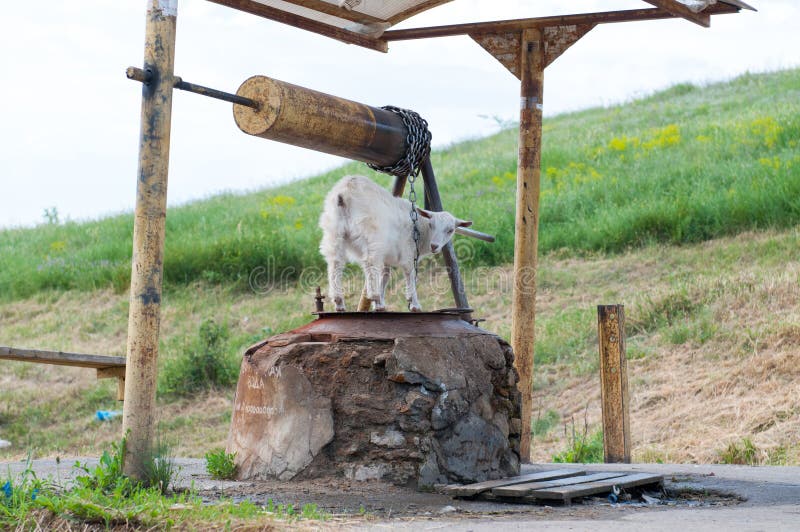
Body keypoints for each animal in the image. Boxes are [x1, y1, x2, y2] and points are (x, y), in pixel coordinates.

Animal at [319, 175, 471, 312]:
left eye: (450, 230)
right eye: (431, 225)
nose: (434, 246)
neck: (420, 228)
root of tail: (345, 192)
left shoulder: (388, 259)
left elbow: (385, 276)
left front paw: (380, 305)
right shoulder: (408, 253)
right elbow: (410, 275)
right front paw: (414, 304)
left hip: (333, 231)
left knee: (335, 264)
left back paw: (339, 301)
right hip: (372, 234)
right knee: (370, 262)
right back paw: (374, 295)